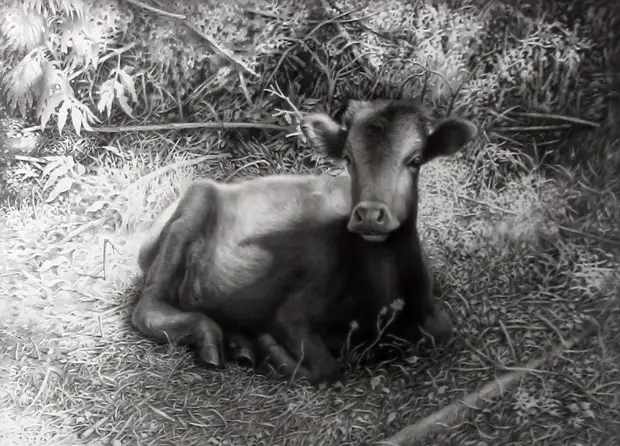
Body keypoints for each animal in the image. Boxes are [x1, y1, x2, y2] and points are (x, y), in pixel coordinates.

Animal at [133, 98, 478, 384]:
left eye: (415, 159)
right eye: (348, 158)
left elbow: (443, 330)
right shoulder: (293, 313)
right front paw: (271, 350)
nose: (369, 214)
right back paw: (213, 337)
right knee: (147, 306)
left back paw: (238, 344)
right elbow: (326, 368)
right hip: (194, 206)